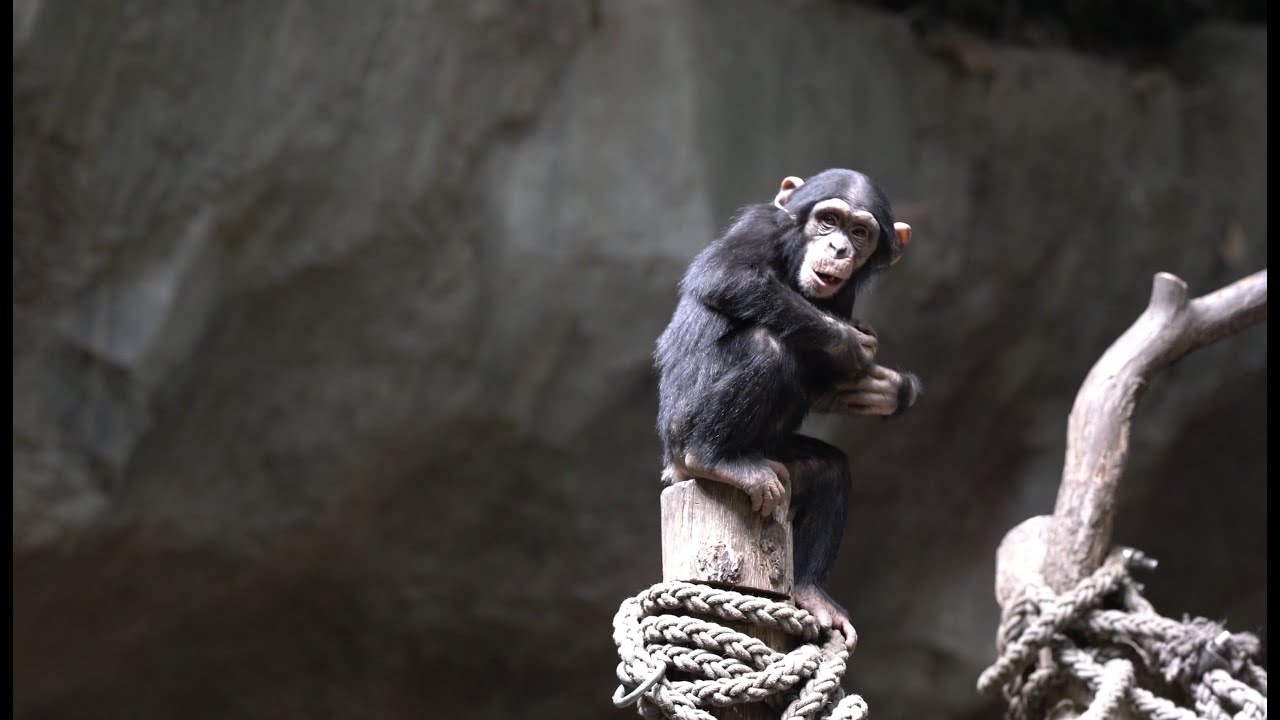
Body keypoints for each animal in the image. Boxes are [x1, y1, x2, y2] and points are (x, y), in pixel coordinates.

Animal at [654, 168, 921, 648]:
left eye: (860, 233)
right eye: (828, 220)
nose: (839, 248)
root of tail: (673, 468)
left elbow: (823, 383)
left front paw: (890, 390)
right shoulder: (760, 226)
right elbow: (727, 275)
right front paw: (852, 344)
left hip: (777, 459)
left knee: (829, 470)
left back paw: (814, 594)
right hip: (684, 432)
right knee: (767, 345)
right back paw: (711, 457)